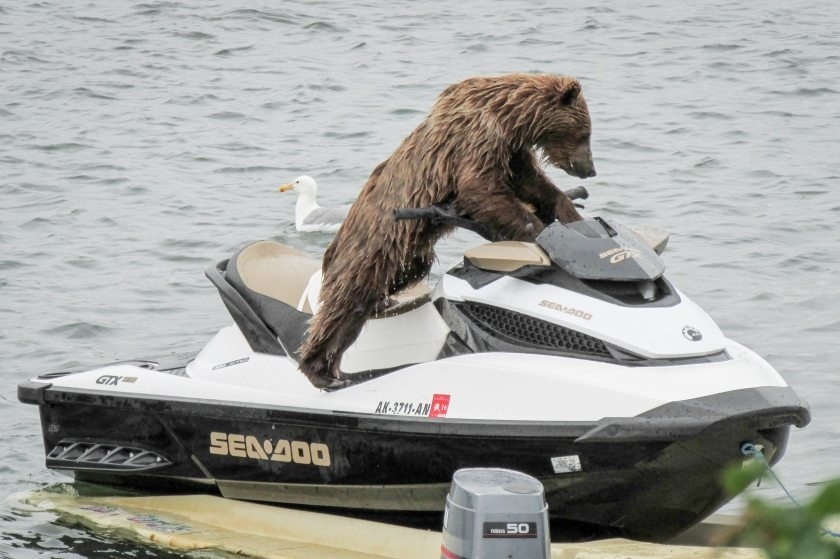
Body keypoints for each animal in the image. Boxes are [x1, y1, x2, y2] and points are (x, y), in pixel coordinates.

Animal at [297, 73, 596, 388]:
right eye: (585, 132)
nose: (590, 169)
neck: (509, 116)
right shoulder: (478, 138)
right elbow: (479, 188)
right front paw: (538, 233)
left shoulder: (511, 152)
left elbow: (532, 182)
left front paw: (569, 213)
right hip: (368, 251)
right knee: (343, 305)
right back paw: (319, 371)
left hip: (407, 256)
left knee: (374, 296)